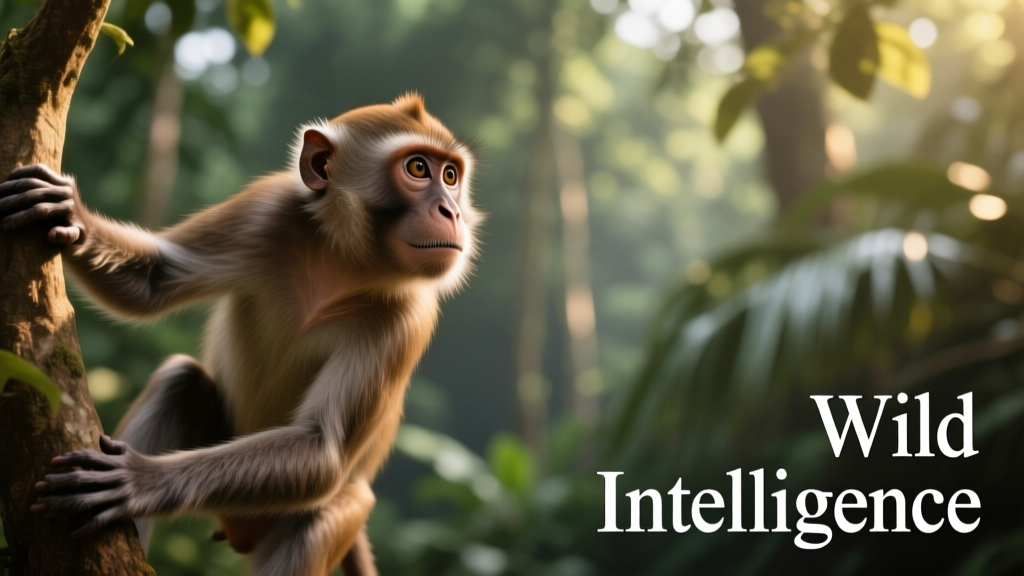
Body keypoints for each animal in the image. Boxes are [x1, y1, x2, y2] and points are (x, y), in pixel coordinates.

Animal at [0, 92, 480, 576]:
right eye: (418, 168)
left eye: (451, 176)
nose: (452, 211)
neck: (341, 261)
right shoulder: (265, 209)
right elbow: (152, 281)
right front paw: (69, 214)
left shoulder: (407, 318)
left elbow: (321, 448)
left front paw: (140, 480)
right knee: (181, 380)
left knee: (328, 510)